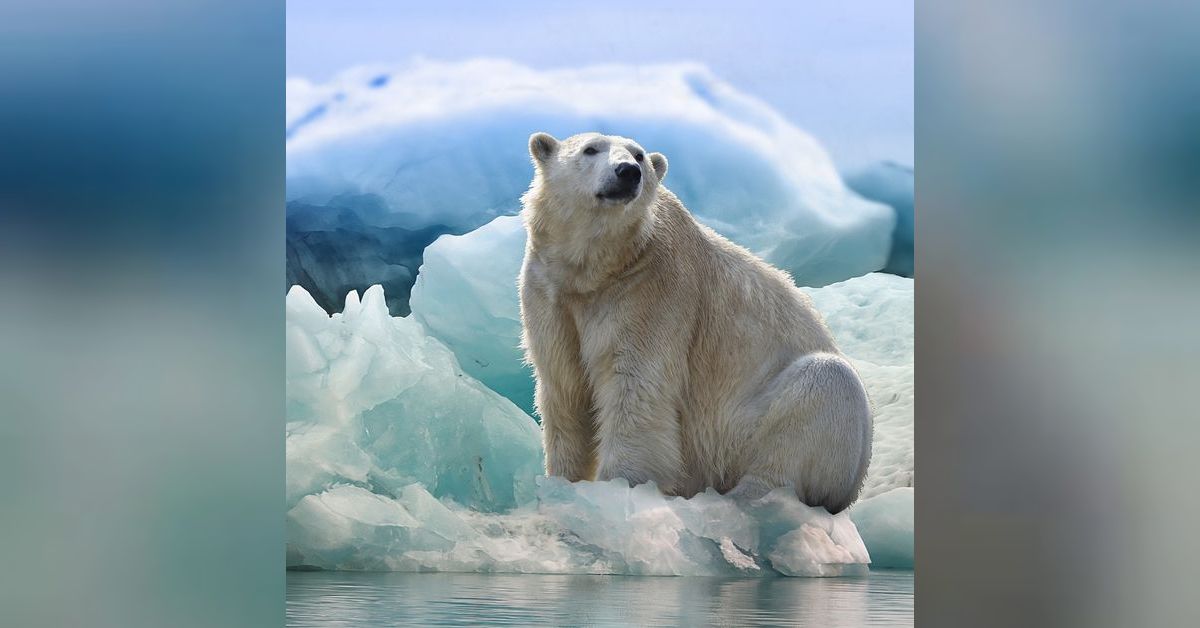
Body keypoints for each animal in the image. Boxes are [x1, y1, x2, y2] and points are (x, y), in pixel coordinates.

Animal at [518, 131, 872, 513]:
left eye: (639, 155)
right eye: (590, 149)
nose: (628, 172)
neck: (599, 269)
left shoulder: (651, 290)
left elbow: (635, 388)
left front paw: (619, 487)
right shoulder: (550, 293)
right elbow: (565, 387)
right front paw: (562, 483)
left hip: (751, 428)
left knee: (823, 388)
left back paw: (747, 497)